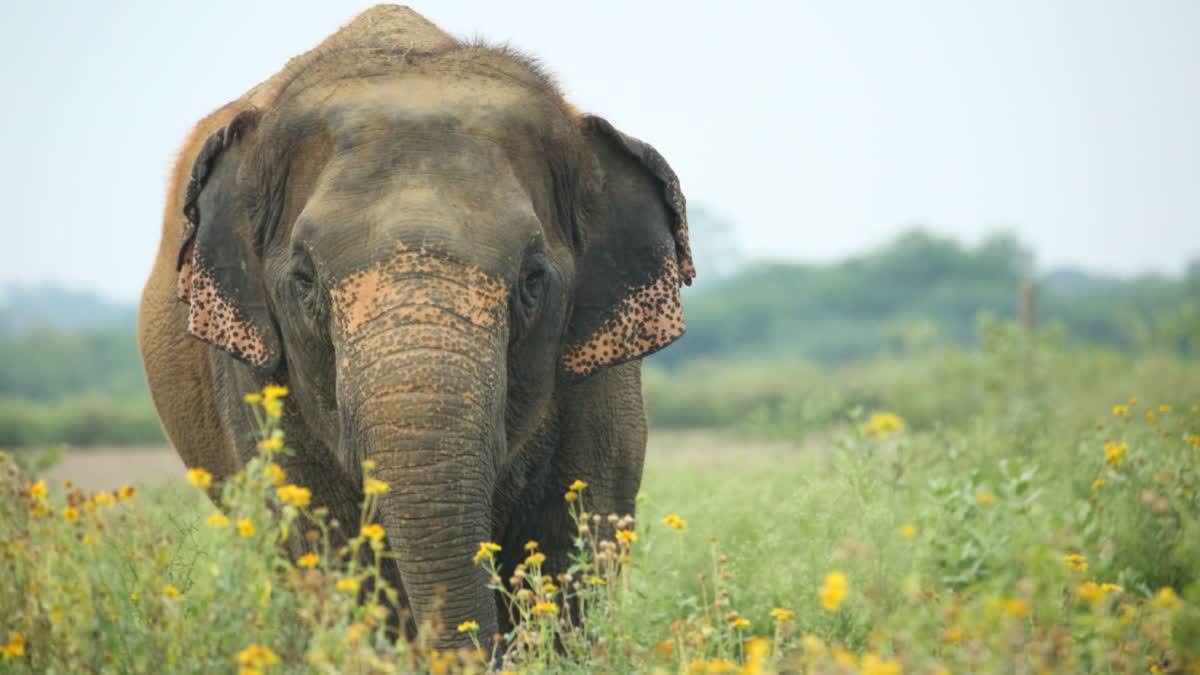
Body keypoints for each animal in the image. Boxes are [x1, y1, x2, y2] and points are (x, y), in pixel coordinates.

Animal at [136, 5, 694, 648]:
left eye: (533, 279)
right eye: (303, 280)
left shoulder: (600, 373)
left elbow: (578, 532)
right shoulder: (255, 374)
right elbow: (320, 537)